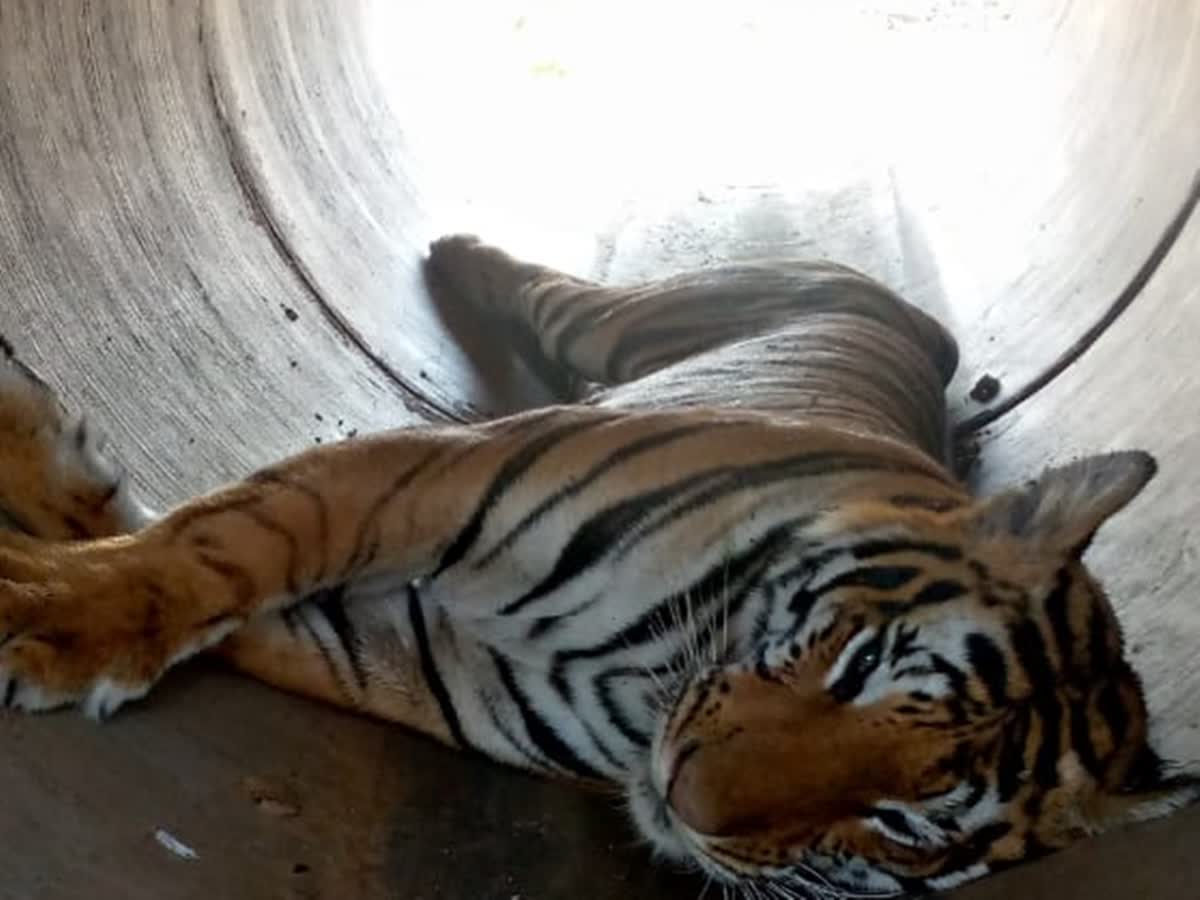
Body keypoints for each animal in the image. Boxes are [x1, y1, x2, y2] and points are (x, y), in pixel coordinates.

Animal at [0, 234, 1194, 898]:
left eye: (907, 824)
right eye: (860, 662)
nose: (688, 801)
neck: (645, 672)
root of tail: (930, 332)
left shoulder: (402, 655)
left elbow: (200, 563)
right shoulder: (438, 476)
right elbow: (227, 537)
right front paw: (59, 604)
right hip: (630, 322)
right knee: (530, 286)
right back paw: (454, 251)